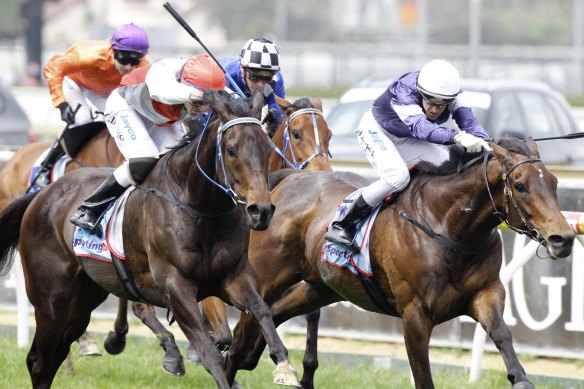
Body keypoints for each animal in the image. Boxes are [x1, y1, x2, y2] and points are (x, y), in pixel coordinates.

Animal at [0, 91, 302, 388]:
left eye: (267, 150)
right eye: (231, 150)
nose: (261, 211)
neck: (199, 207)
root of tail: (40, 196)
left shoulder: (234, 277)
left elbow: (261, 311)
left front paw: (285, 366)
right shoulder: (176, 287)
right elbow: (210, 353)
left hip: (81, 301)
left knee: (52, 358)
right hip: (52, 302)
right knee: (39, 361)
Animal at [225, 137, 576, 388]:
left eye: (555, 183)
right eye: (520, 186)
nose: (563, 238)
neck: (448, 226)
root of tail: (288, 180)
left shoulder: (485, 293)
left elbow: (502, 333)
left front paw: (520, 378)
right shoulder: (414, 314)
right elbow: (422, 376)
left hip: (322, 287)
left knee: (273, 314)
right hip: (265, 277)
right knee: (243, 330)